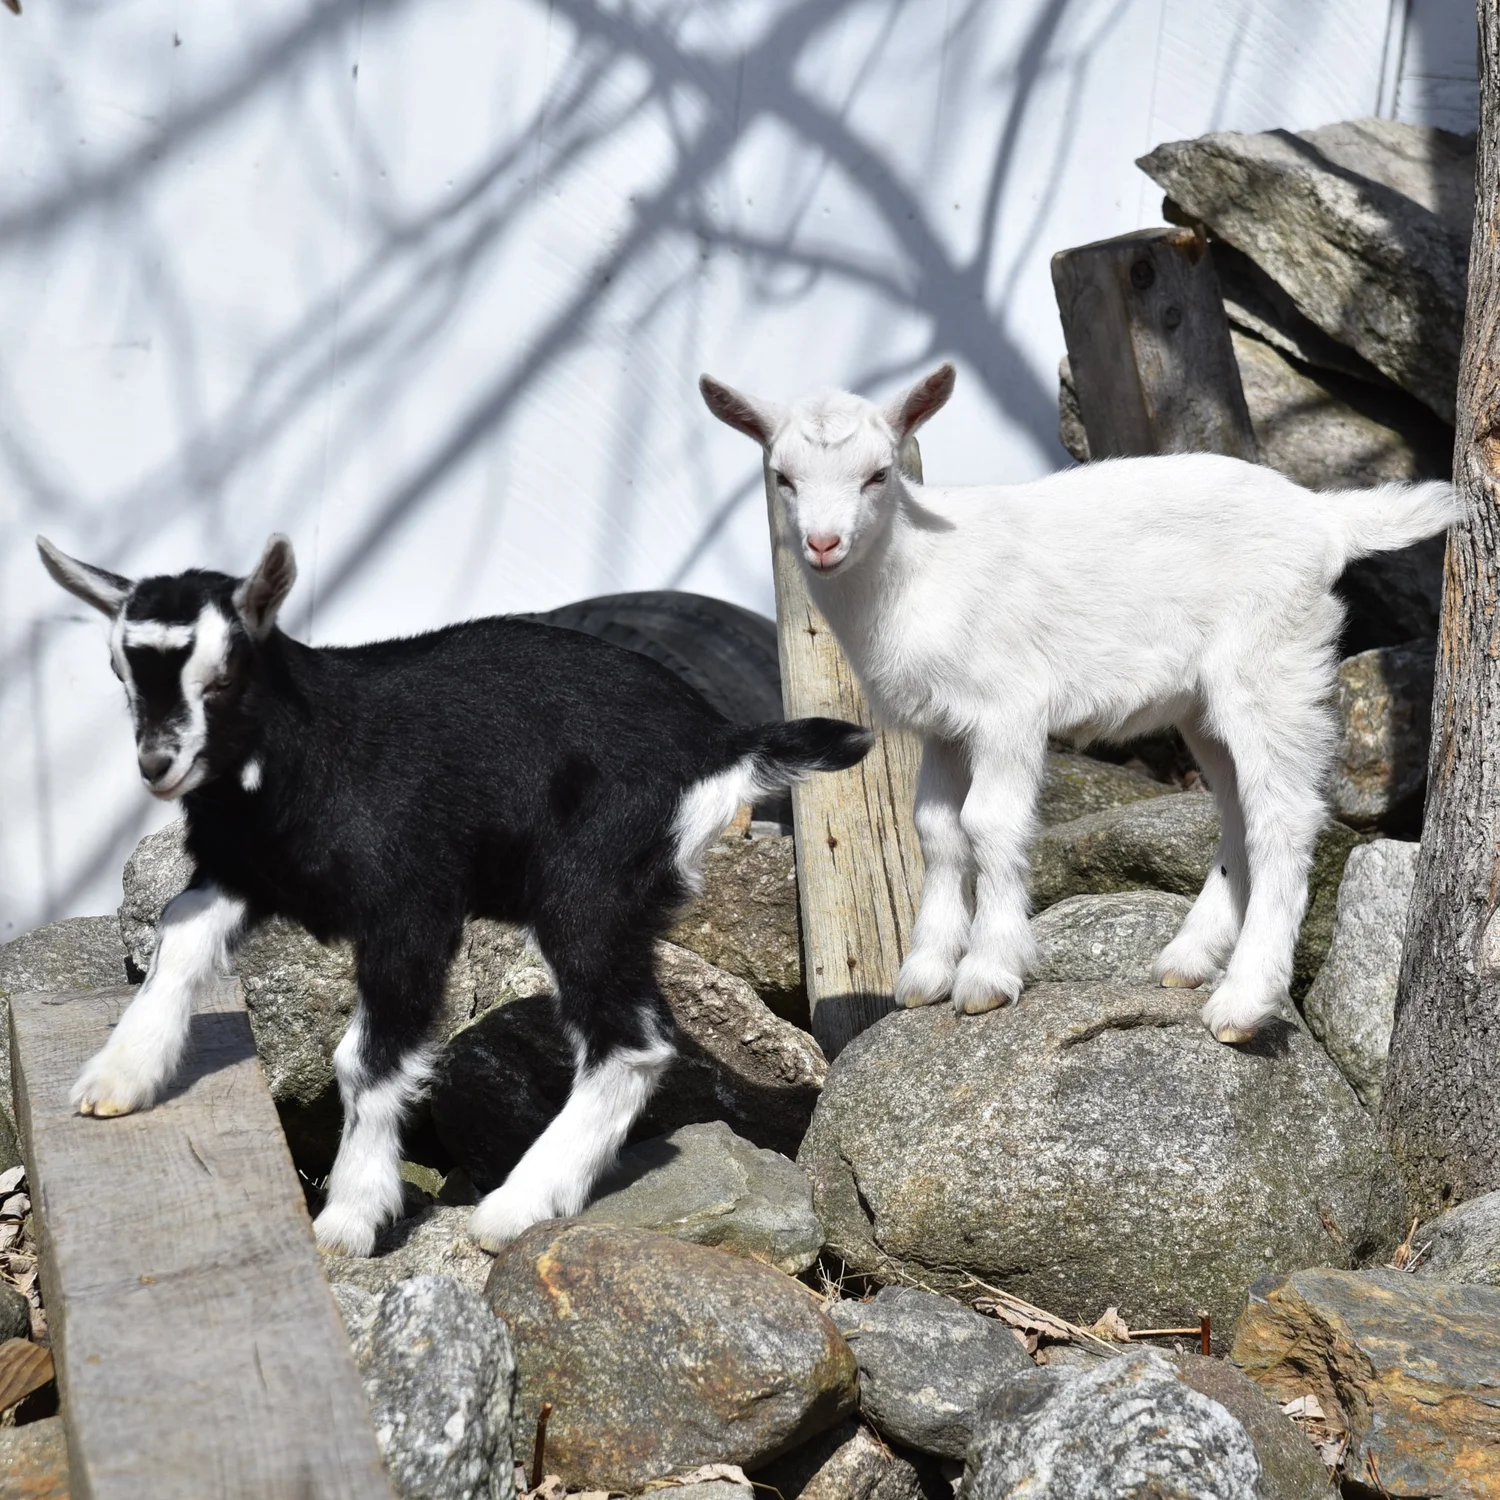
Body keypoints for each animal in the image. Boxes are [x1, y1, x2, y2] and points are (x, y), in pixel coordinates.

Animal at [36, 535, 871, 1255]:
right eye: (121, 673)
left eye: (221, 675)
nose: (157, 764)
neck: (315, 747)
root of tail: (719, 741)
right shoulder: (241, 872)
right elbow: (177, 930)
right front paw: (119, 1076)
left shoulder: (410, 911)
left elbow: (367, 1058)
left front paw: (351, 1216)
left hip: (590, 887)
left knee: (632, 1037)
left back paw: (517, 1206)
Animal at [700, 362, 1458, 1044]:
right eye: (782, 477)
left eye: (878, 474)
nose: (823, 544)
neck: (917, 571)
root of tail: (1324, 518)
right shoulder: (940, 725)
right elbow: (936, 830)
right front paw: (924, 973)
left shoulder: (1007, 706)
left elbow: (988, 823)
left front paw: (987, 973)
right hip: (1203, 702)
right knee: (1238, 807)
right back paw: (1189, 958)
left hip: (1273, 661)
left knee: (1286, 814)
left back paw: (1244, 1002)